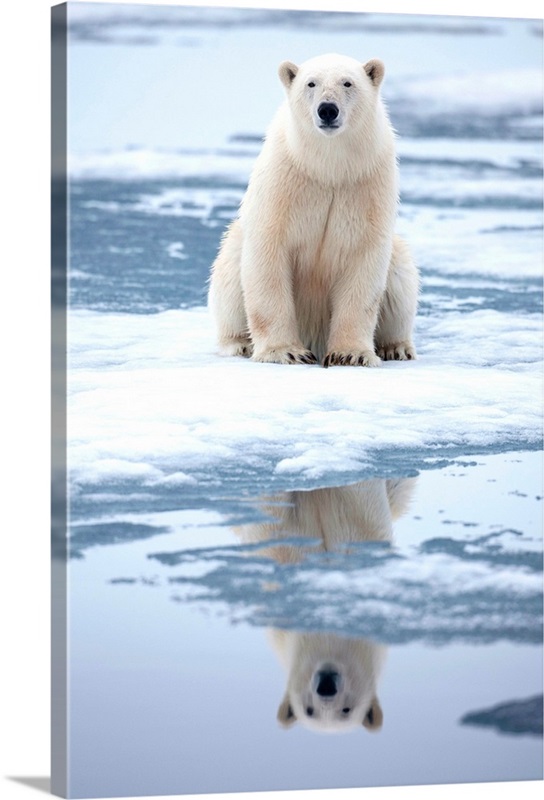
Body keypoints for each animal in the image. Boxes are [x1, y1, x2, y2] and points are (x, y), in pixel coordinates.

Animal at [208, 52, 419, 366]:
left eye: (347, 83)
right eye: (311, 83)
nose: (327, 109)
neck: (327, 168)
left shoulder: (366, 184)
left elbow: (363, 263)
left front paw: (351, 354)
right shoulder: (284, 183)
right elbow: (269, 256)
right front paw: (285, 351)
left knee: (401, 277)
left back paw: (396, 347)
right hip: (233, 253)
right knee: (230, 274)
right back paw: (239, 344)